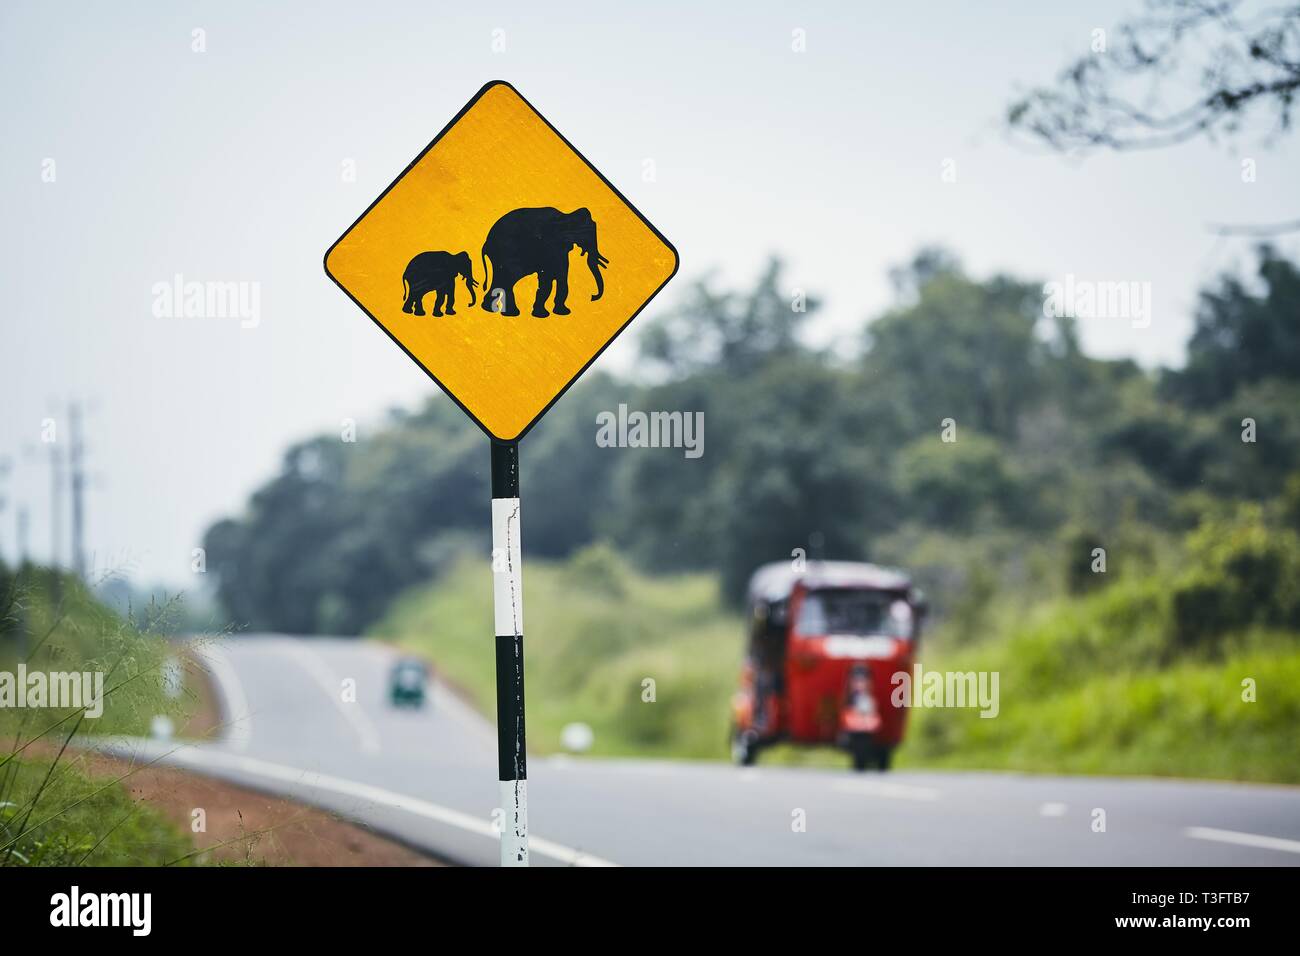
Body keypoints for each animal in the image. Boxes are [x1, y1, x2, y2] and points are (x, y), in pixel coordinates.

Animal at [479, 207, 609, 317]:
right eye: (586, 234)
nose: (592, 296)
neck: (566, 216)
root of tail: (485, 244)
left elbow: (559, 279)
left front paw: (560, 313)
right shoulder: (549, 248)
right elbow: (547, 281)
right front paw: (544, 315)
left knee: (502, 281)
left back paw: (492, 310)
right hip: (505, 255)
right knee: (507, 281)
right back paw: (509, 313)